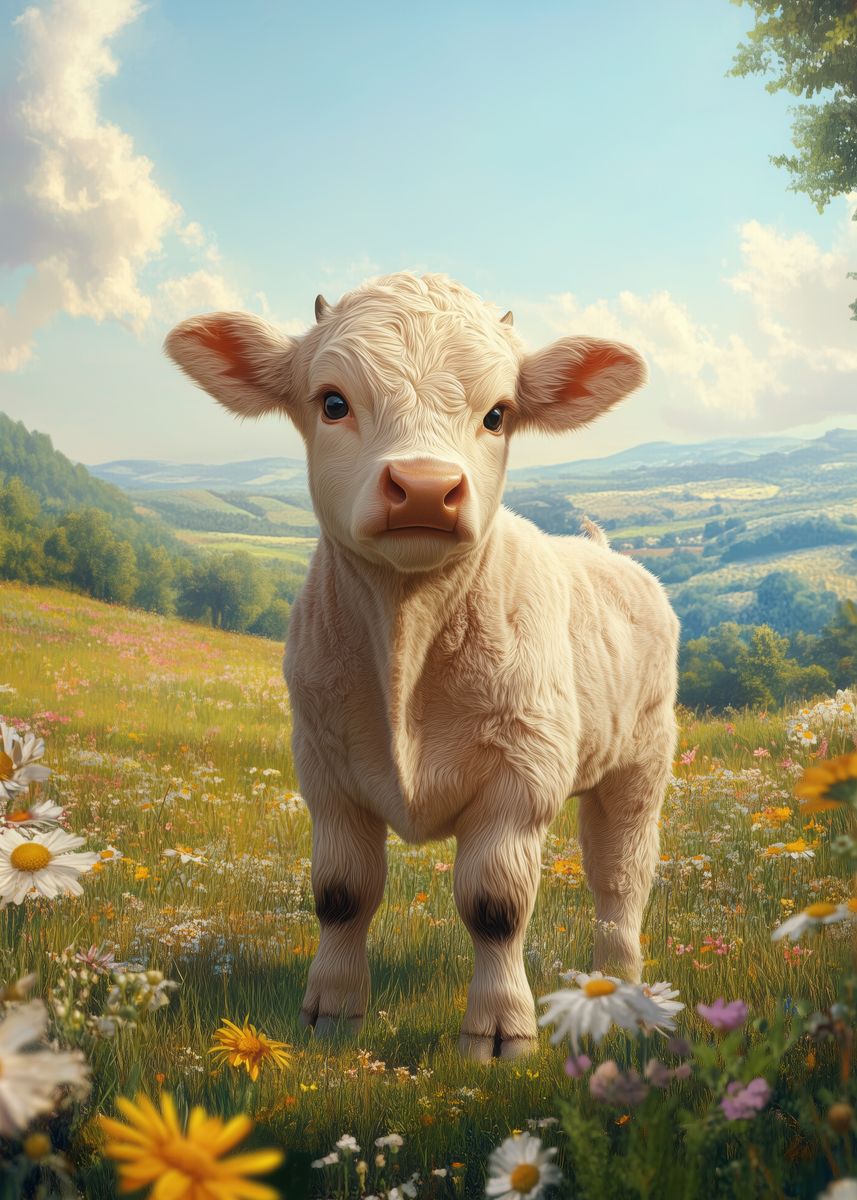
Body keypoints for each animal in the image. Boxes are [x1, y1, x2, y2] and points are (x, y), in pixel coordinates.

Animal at [165, 272, 680, 1061]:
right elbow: (341, 893)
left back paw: (621, 988)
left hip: (641, 760)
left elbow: (496, 904)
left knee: (619, 876)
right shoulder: (324, 768)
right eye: (333, 402)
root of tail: (607, 551)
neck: (408, 640)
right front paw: (331, 1014)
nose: (426, 487)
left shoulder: (521, 773)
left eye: (497, 413)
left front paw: (500, 1030)